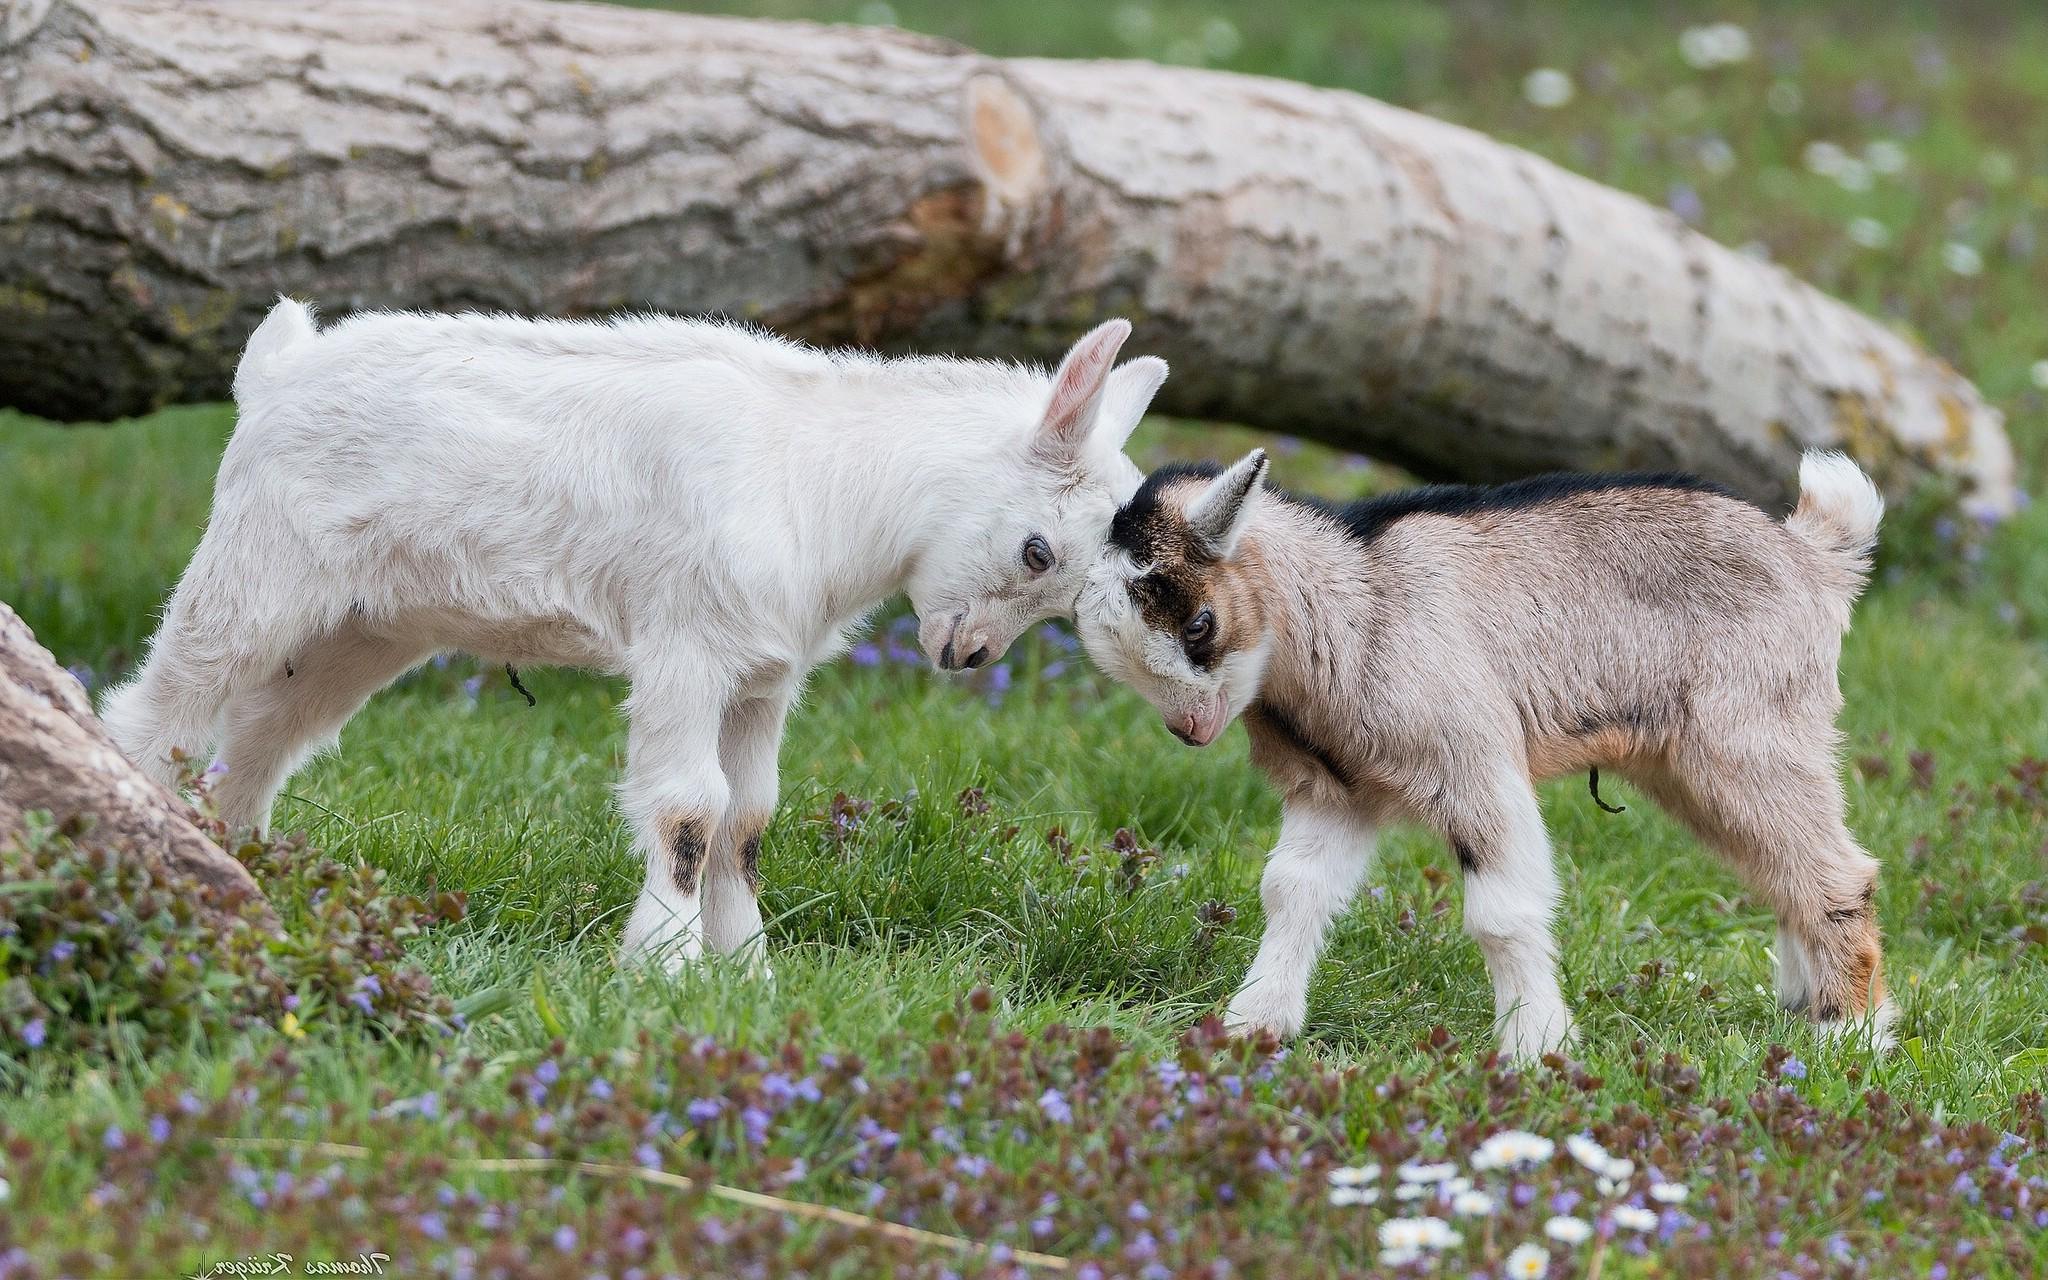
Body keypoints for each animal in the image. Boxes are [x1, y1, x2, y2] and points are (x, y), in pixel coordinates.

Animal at [101, 302, 1164, 970]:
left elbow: (748, 820)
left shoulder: (762, 676)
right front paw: (665, 973)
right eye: (1036, 551)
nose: (967, 656)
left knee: (262, 740)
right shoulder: (686, 648)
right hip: (256, 568)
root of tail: (277, 368)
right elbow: (690, 811)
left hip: (363, 629)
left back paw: (244, 867)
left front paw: (749, 974)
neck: (821, 476)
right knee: (161, 709)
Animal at [1076, 448, 1892, 1058]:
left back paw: (1849, 1036)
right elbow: (1291, 889)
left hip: (1751, 737)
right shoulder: (1337, 788)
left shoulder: (1470, 762)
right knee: (1781, 869)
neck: (1358, 604)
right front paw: (1253, 1026)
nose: (1191, 729)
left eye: (1200, 623)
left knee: (1835, 870)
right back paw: (1807, 1010)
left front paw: (1536, 1050)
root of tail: (1814, 555)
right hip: (1691, 763)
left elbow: (1500, 913)